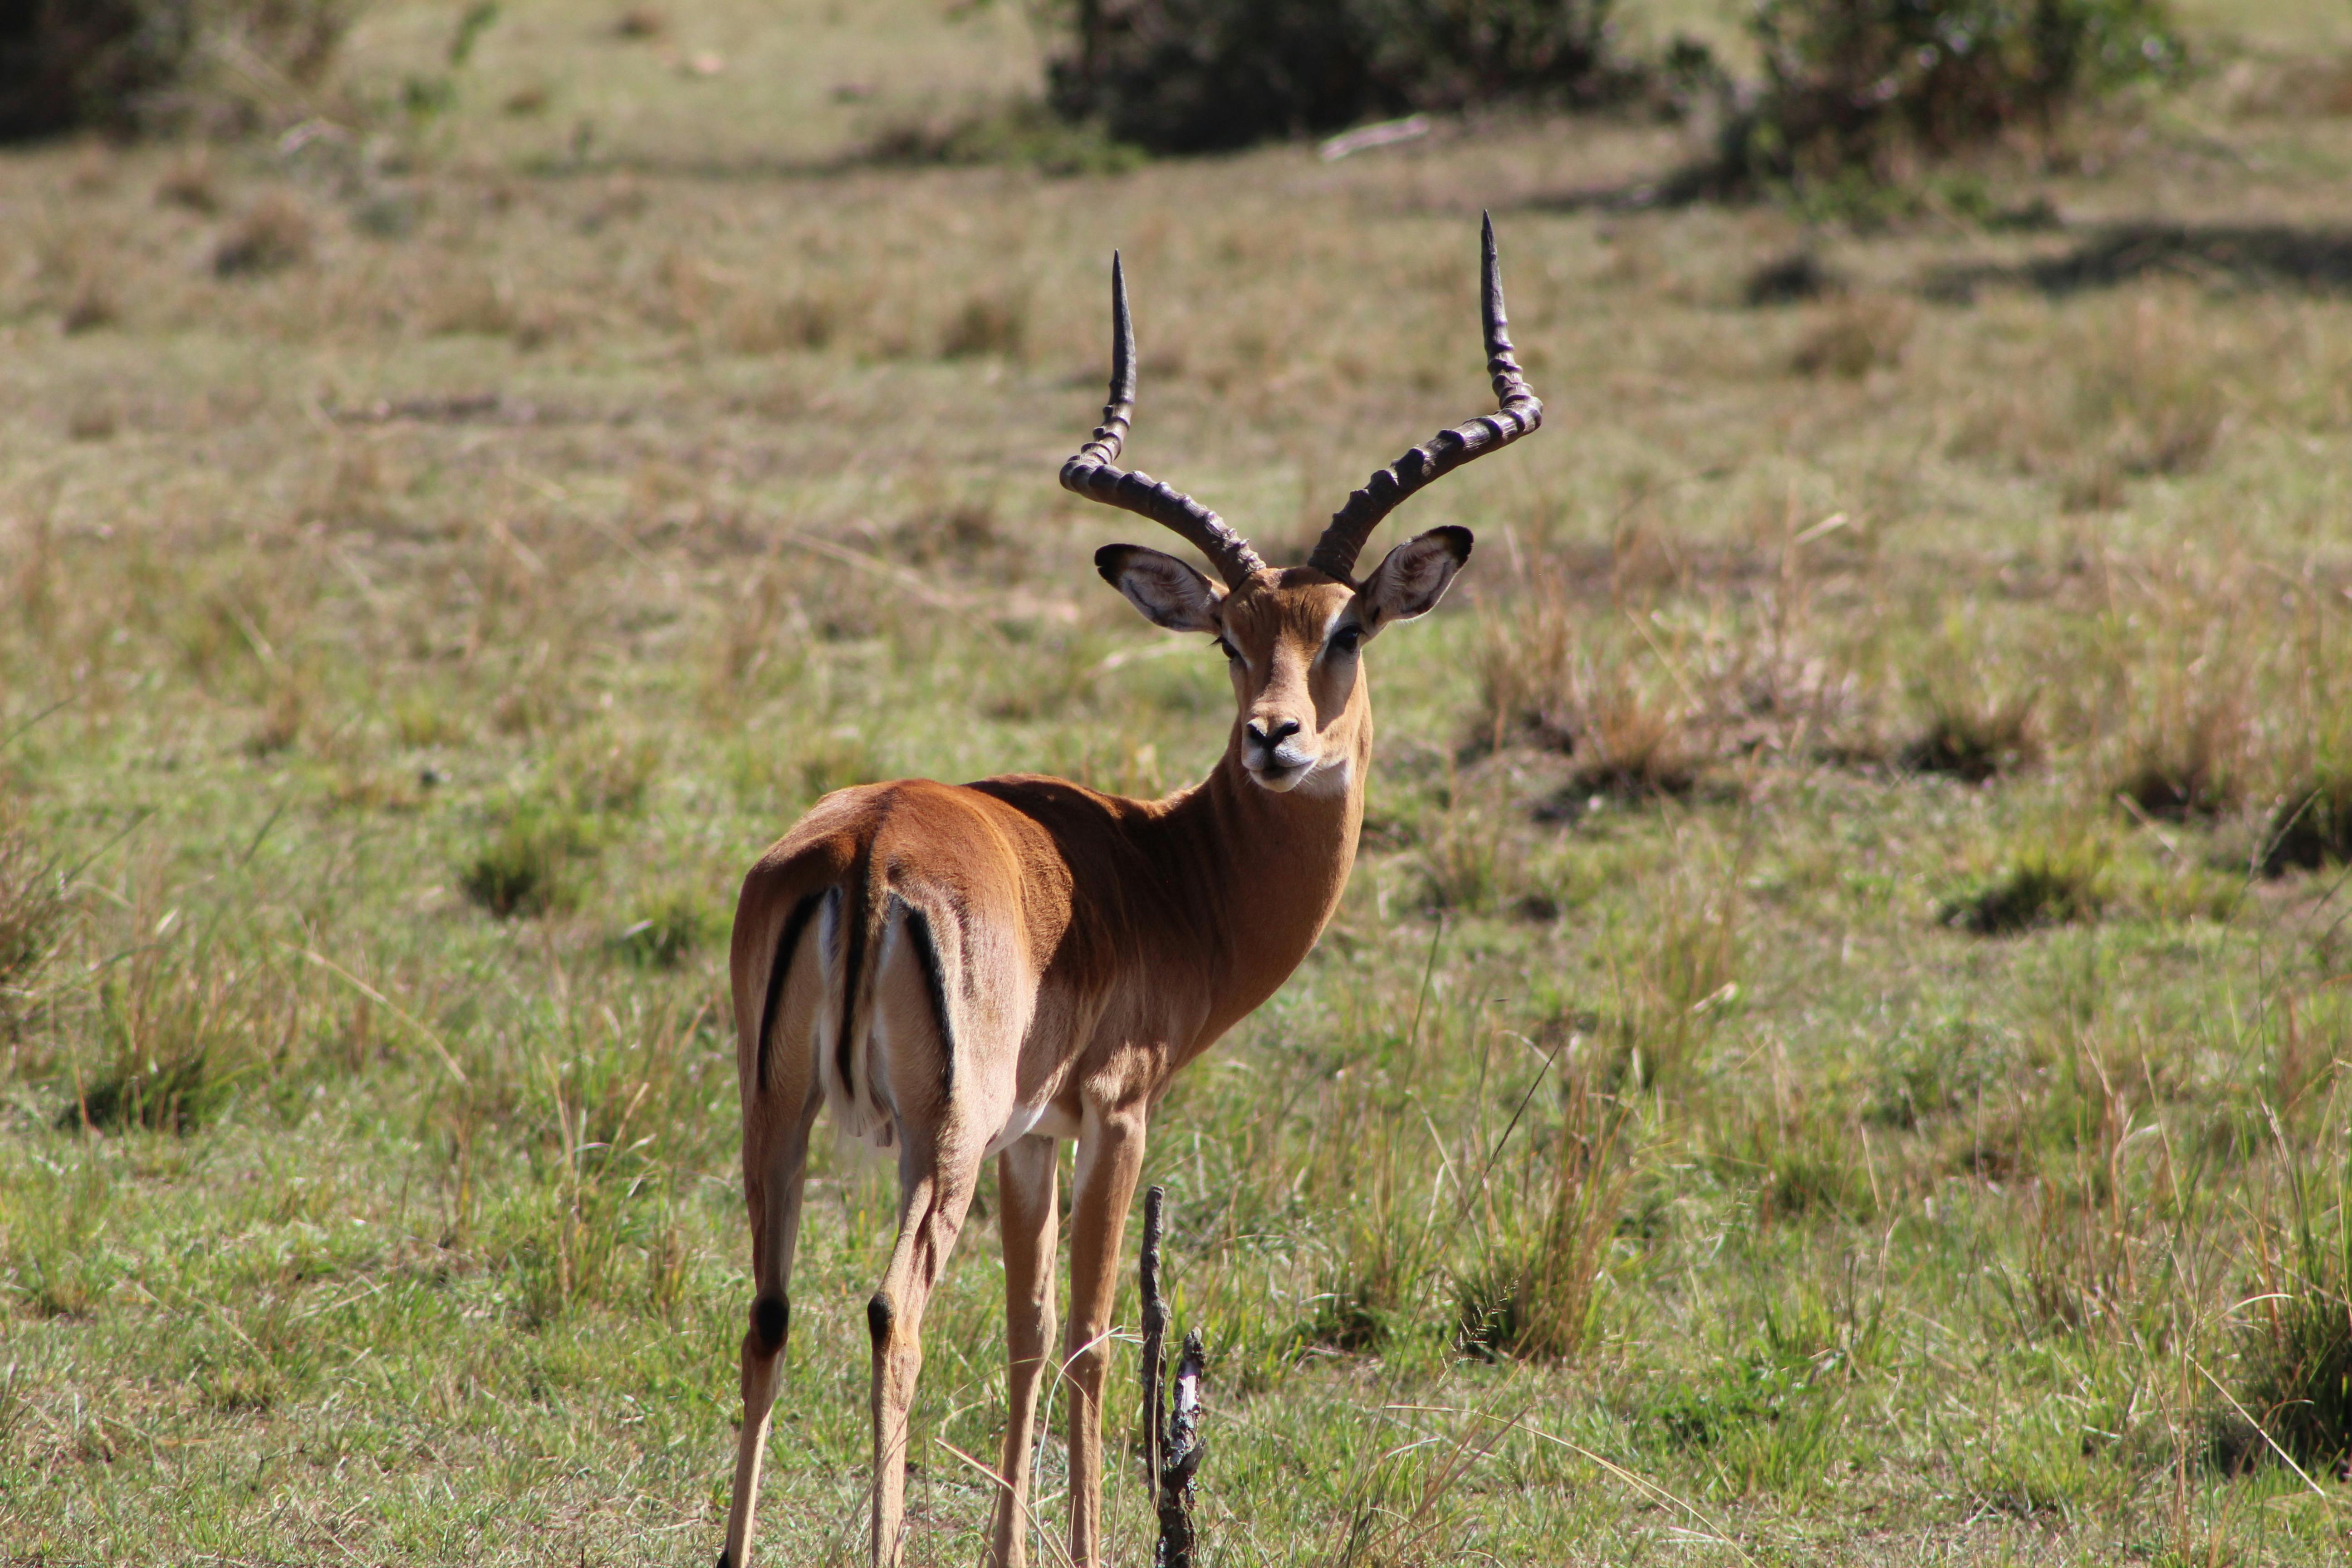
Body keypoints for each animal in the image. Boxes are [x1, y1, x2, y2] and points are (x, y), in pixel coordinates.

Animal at [717, 216, 1541, 1568]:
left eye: (1345, 630)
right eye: (1228, 635)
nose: (1275, 737)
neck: (1167, 871)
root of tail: (866, 848)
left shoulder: (1030, 1138)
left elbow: (1028, 1331)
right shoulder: (1115, 1113)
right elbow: (1097, 1341)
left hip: (777, 1120)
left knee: (770, 1310)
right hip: (931, 1141)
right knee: (892, 1308)